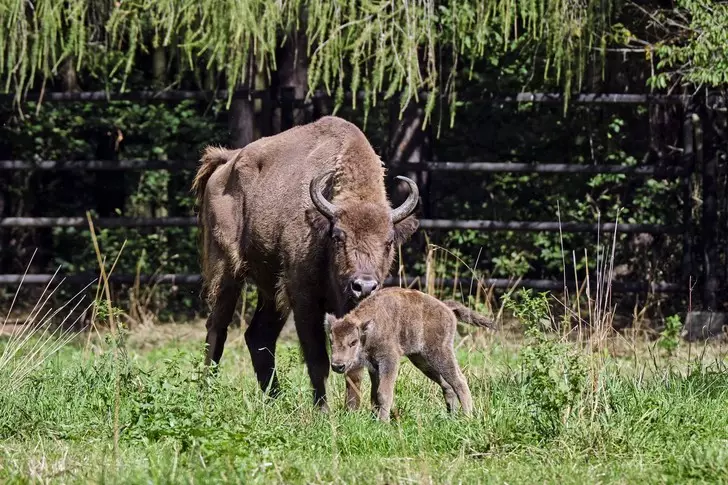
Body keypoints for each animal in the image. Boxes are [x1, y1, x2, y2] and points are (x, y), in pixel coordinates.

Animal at [193, 116, 418, 408]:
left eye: (389, 241)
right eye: (338, 237)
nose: (364, 286)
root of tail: (226, 161)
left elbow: (354, 362)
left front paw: (352, 409)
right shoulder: (304, 301)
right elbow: (317, 359)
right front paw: (323, 410)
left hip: (271, 289)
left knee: (259, 336)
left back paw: (275, 399)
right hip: (226, 270)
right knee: (217, 328)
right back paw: (206, 393)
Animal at [324, 288, 494, 420]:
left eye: (353, 342)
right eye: (331, 341)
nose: (338, 365)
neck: (368, 330)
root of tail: (445, 307)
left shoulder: (389, 360)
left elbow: (383, 393)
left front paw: (383, 423)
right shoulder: (373, 367)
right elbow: (374, 394)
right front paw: (375, 419)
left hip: (439, 353)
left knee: (459, 381)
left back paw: (467, 417)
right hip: (421, 360)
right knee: (447, 384)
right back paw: (451, 417)